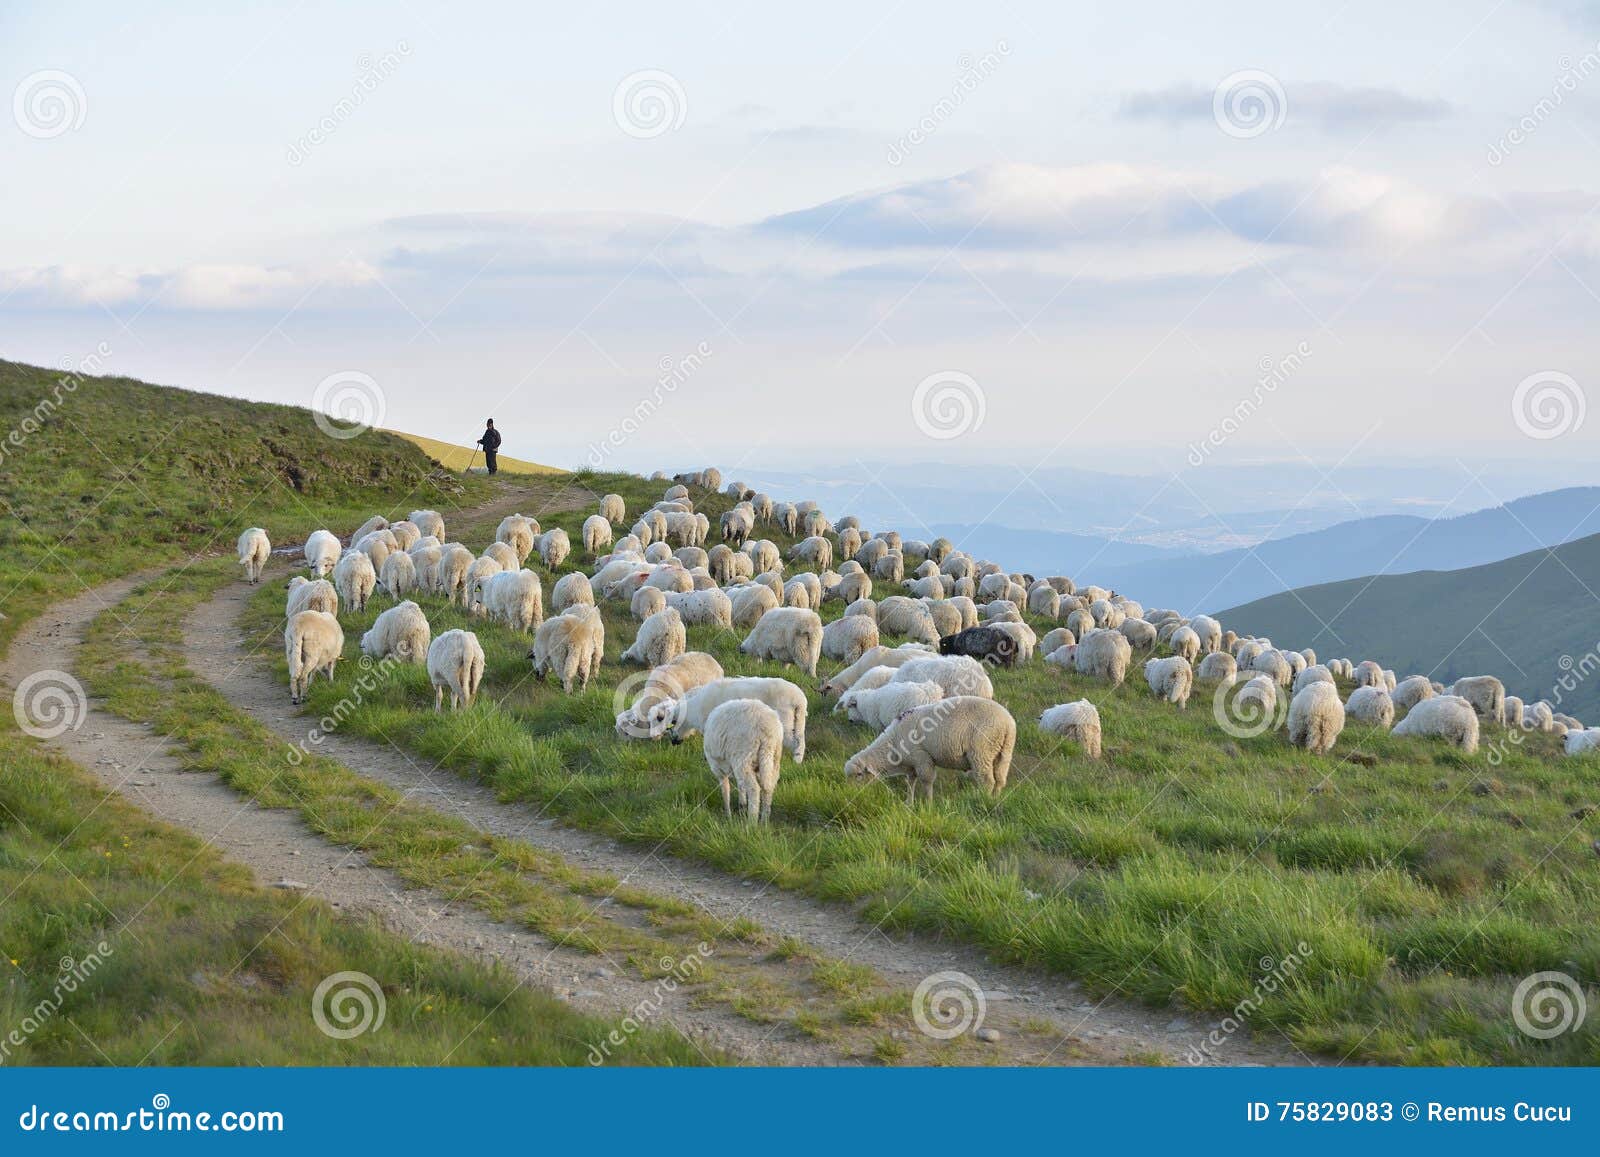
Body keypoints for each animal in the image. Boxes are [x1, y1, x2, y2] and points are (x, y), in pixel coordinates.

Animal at [651, 676, 809, 762]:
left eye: (672, 722)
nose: (674, 742)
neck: (694, 710)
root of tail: (799, 699)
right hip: (797, 719)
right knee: (800, 739)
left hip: (785, 718)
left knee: (795, 742)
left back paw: (796, 760)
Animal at [844, 697, 1016, 802]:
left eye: (859, 775)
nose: (850, 795)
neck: (893, 743)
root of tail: (1007, 722)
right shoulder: (911, 763)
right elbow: (910, 781)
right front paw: (909, 803)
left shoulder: (922, 757)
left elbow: (926, 781)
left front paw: (928, 804)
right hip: (1003, 752)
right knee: (1000, 779)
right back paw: (994, 800)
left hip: (982, 751)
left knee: (987, 780)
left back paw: (983, 799)